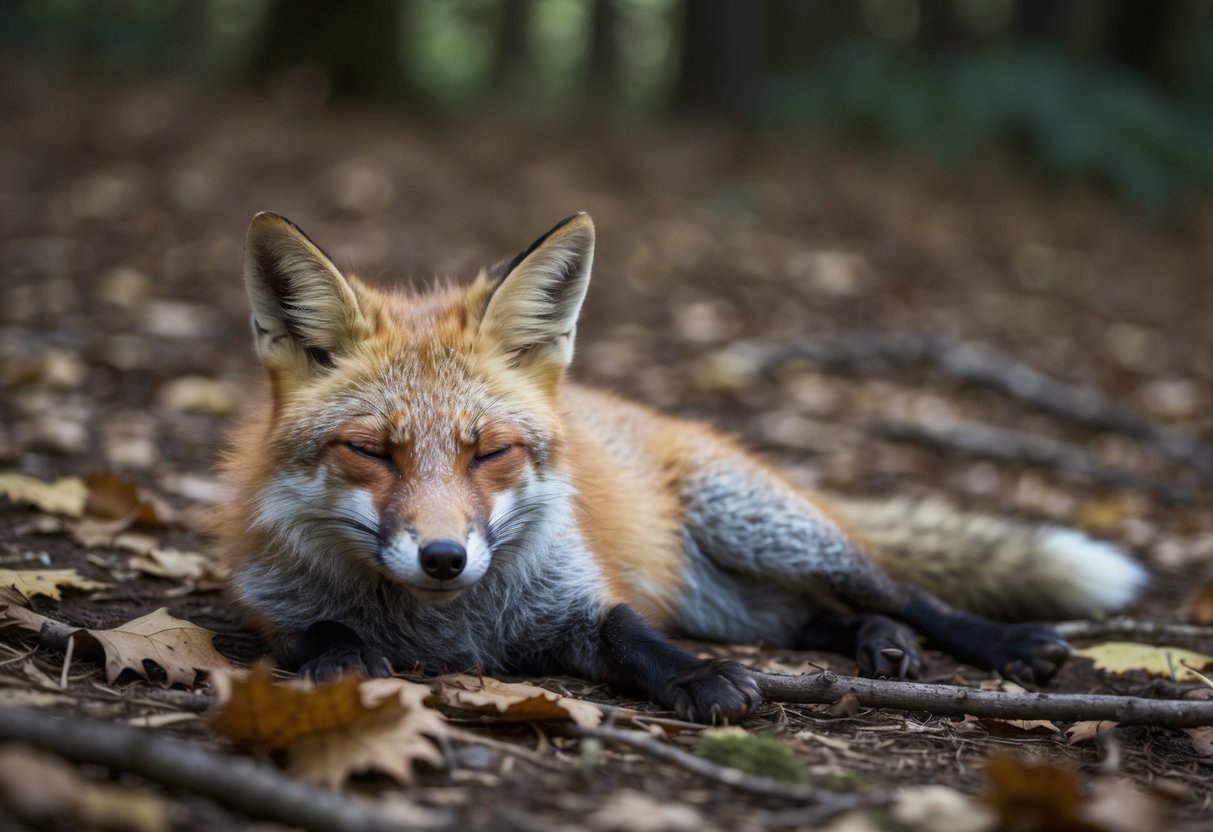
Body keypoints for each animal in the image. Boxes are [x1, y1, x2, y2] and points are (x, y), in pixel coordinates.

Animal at [216, 210, 1147, 723]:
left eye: (490, 452)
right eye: (372, 451)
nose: (444, 558)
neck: (449, 628)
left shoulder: (578, 604)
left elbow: (633, 635)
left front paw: (700, 681)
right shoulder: (268, 605)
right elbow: (316, 631)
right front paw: (343, 661)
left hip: (773, 532)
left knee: (900, 590)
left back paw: (993, 641)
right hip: (734, 598)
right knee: (820, 620)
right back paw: (878, 644)